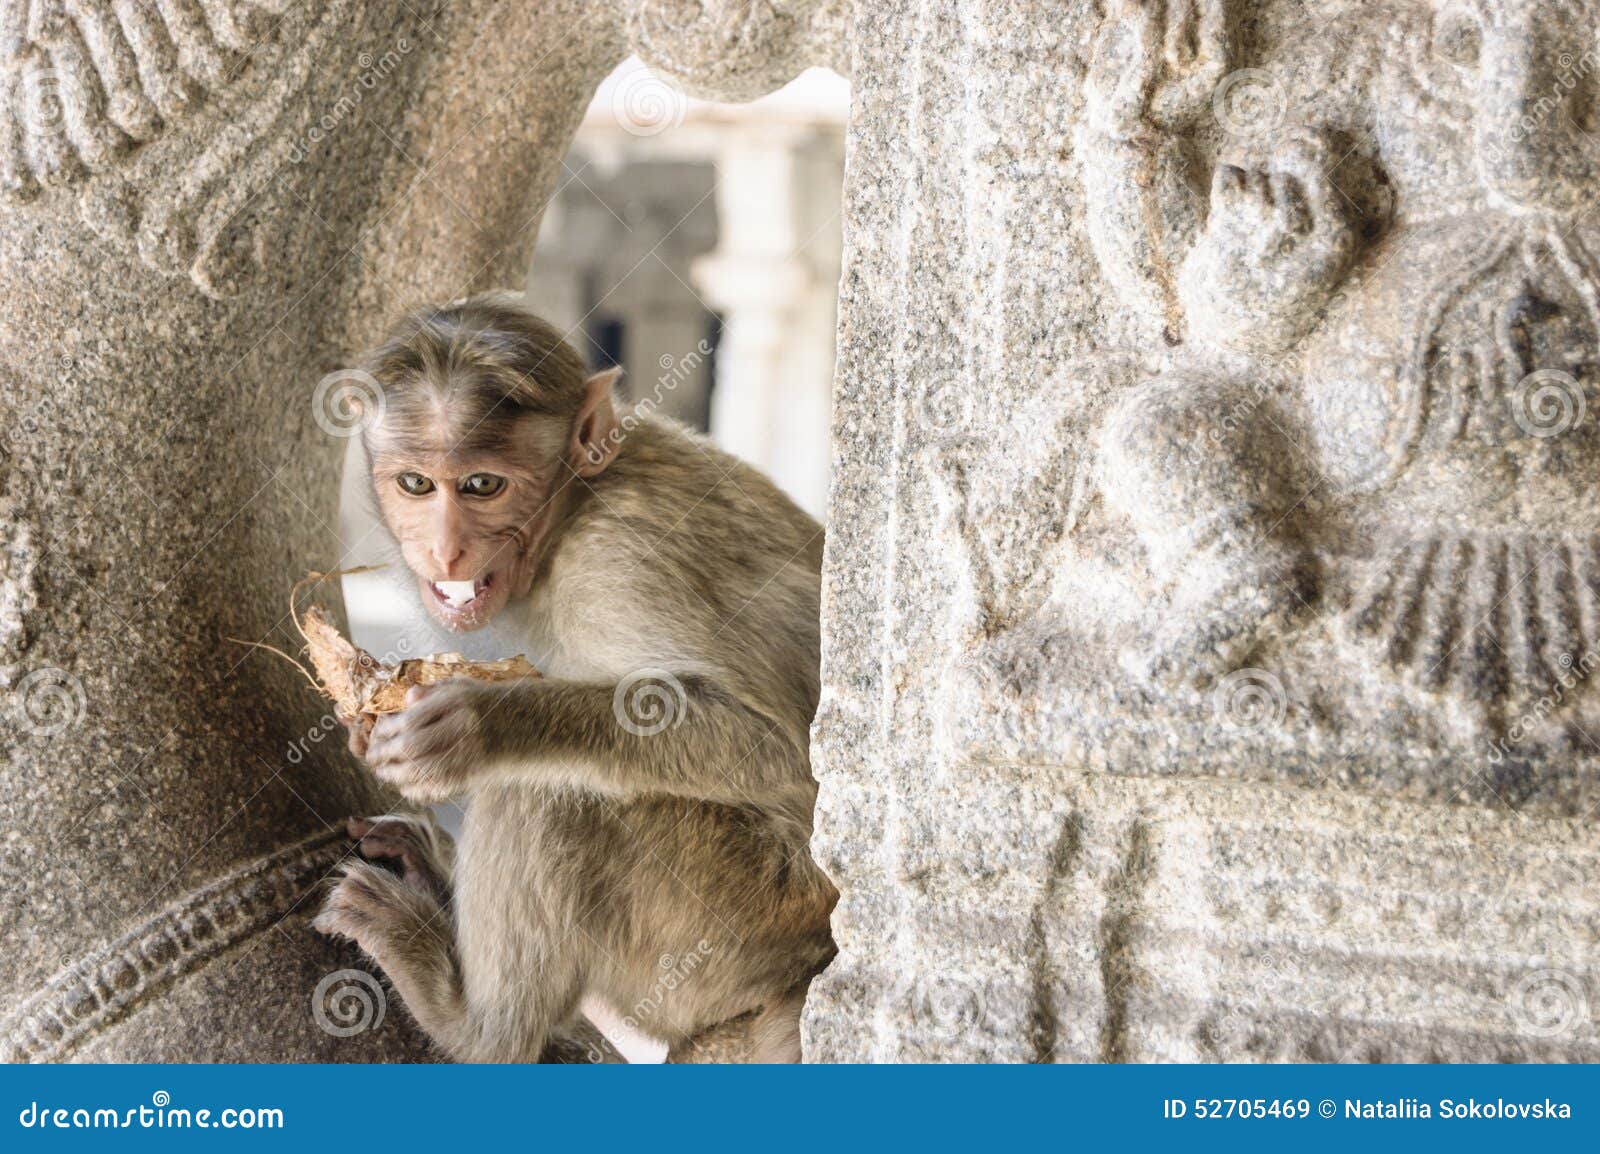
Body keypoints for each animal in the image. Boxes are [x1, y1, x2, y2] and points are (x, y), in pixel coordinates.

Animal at [312, 292, 837, 1063]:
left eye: (483, 486)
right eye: (416, 485)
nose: (445, 549)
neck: (570, 515)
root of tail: (810, 962)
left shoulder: (619, 558)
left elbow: (777, 749)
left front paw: (478, 725)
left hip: (733, 926)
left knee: (544, 790)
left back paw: (471, 1022)